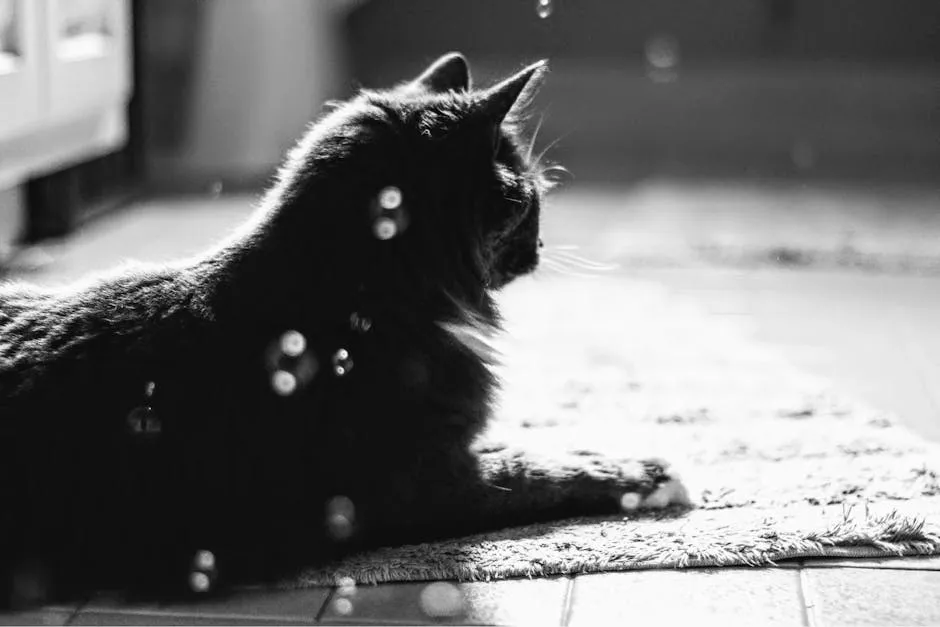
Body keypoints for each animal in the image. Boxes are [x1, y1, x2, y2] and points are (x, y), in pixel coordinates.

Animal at [0, 55, 692, 608]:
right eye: (527, 201)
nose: (541, 247)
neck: (353, 297)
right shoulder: (430, 483)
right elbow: (537, 474)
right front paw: (642, 474)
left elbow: (529, 448)